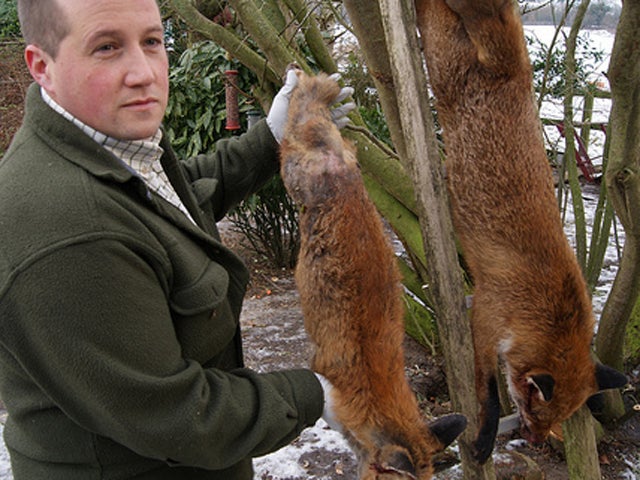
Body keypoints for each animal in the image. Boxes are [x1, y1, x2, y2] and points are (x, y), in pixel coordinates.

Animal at [279, 70, 467, 479]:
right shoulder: (324, 380)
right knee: (298, 110)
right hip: (292, 172)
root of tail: (338, 164)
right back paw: (294, 82)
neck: (374, 399)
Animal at [414, 0, 628, 464]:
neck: (547, 306)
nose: (535, 440)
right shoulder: (484, 318)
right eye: (533, 408)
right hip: (441, 64)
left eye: (560, 416)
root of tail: (513, 72)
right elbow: (491, 398)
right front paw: (484, 439)